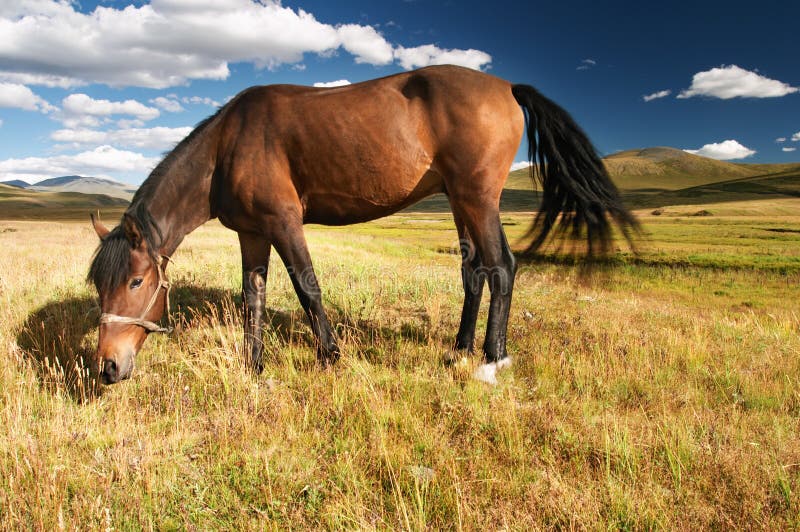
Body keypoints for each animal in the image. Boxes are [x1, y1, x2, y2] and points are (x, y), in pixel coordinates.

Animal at [88, 64, 636, 385]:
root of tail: (506, 86)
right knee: (475, 271)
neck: (227, 146)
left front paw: (330, 357)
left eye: (136, 281)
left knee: (501, 266)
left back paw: (491, 359)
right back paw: (459, 349)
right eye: (99, 287)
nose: (108, 367)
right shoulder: (252, 233)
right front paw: (253, 366)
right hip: (461, 201)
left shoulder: (285, 223)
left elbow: (307, 287)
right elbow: (253, 297)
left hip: (480, 199)